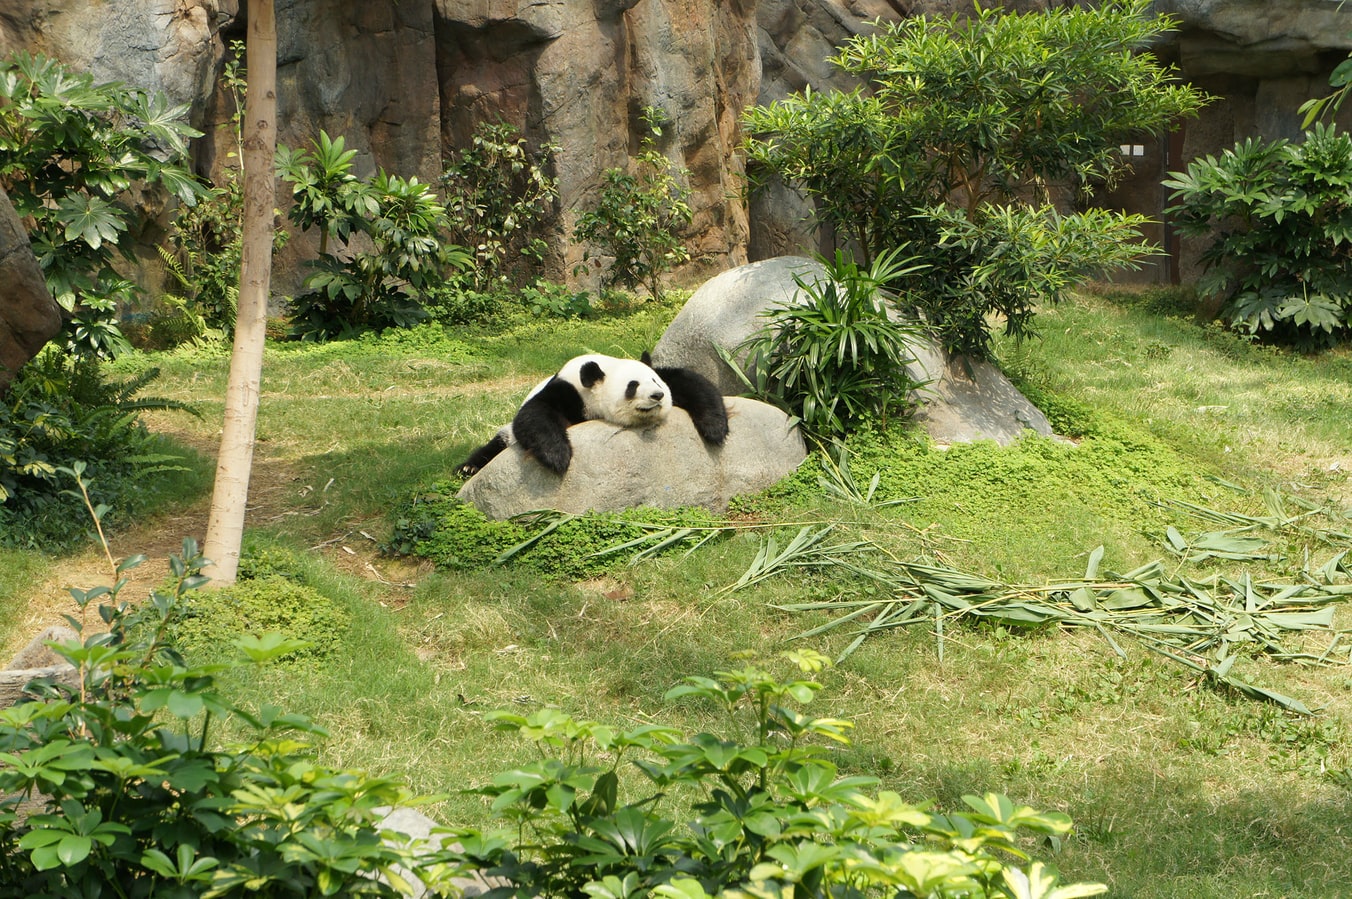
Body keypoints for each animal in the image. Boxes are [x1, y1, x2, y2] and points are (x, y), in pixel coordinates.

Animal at [458, 352, 728, 477]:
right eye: (633, 386)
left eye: (655, 382)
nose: (657, 396)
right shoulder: (567, 391)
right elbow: (534, 414)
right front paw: (558, 456)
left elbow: (692, 382)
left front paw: (715, 429)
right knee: (498, 443)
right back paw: (468, 468)